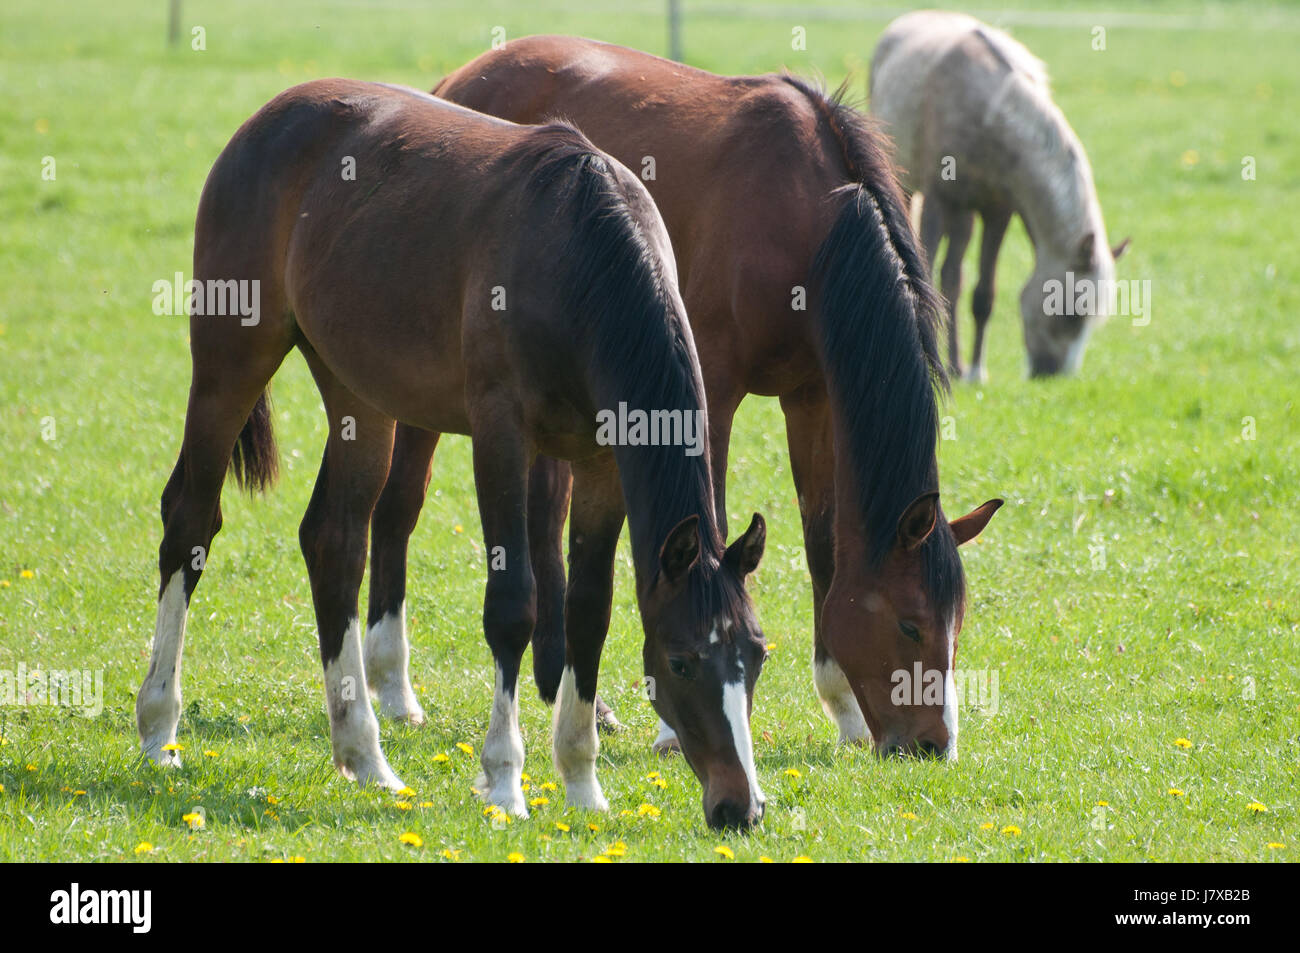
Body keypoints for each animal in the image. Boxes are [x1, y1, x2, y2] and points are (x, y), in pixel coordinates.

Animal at [135, 78, 771, 830]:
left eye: (755, 656)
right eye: (680, 662)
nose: (740, 806)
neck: (578, 260)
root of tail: (267, 120)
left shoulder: (602, 462)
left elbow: (589, 612)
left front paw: (582, 782)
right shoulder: (501, 436)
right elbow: (514, 605)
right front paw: (504, 780)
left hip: (359, 395)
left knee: (334, 542)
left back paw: (365, 756)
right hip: (232, 357)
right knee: (190, 523)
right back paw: (159, 729)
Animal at [359, 36, 1003, 763]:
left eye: (957, 624)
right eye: (911, 624)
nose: (933, 745)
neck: (804, 220)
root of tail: (459, 79)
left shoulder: (811, 398)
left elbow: (820, 543)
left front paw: (843, 710)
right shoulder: (710, 395)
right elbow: (708, 525)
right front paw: (681, 719)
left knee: (545, 523)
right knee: (399, 507)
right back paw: (392, 686)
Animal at [871, 10, 1129, 381]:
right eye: (1070, 315)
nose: (1052, 375)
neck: (987, 112)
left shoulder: (998, 211)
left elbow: (982, 295)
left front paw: (976, 370)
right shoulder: (937, 200)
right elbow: (926, 276)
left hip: (965, 214)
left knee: (954, 277)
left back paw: (958, 365)